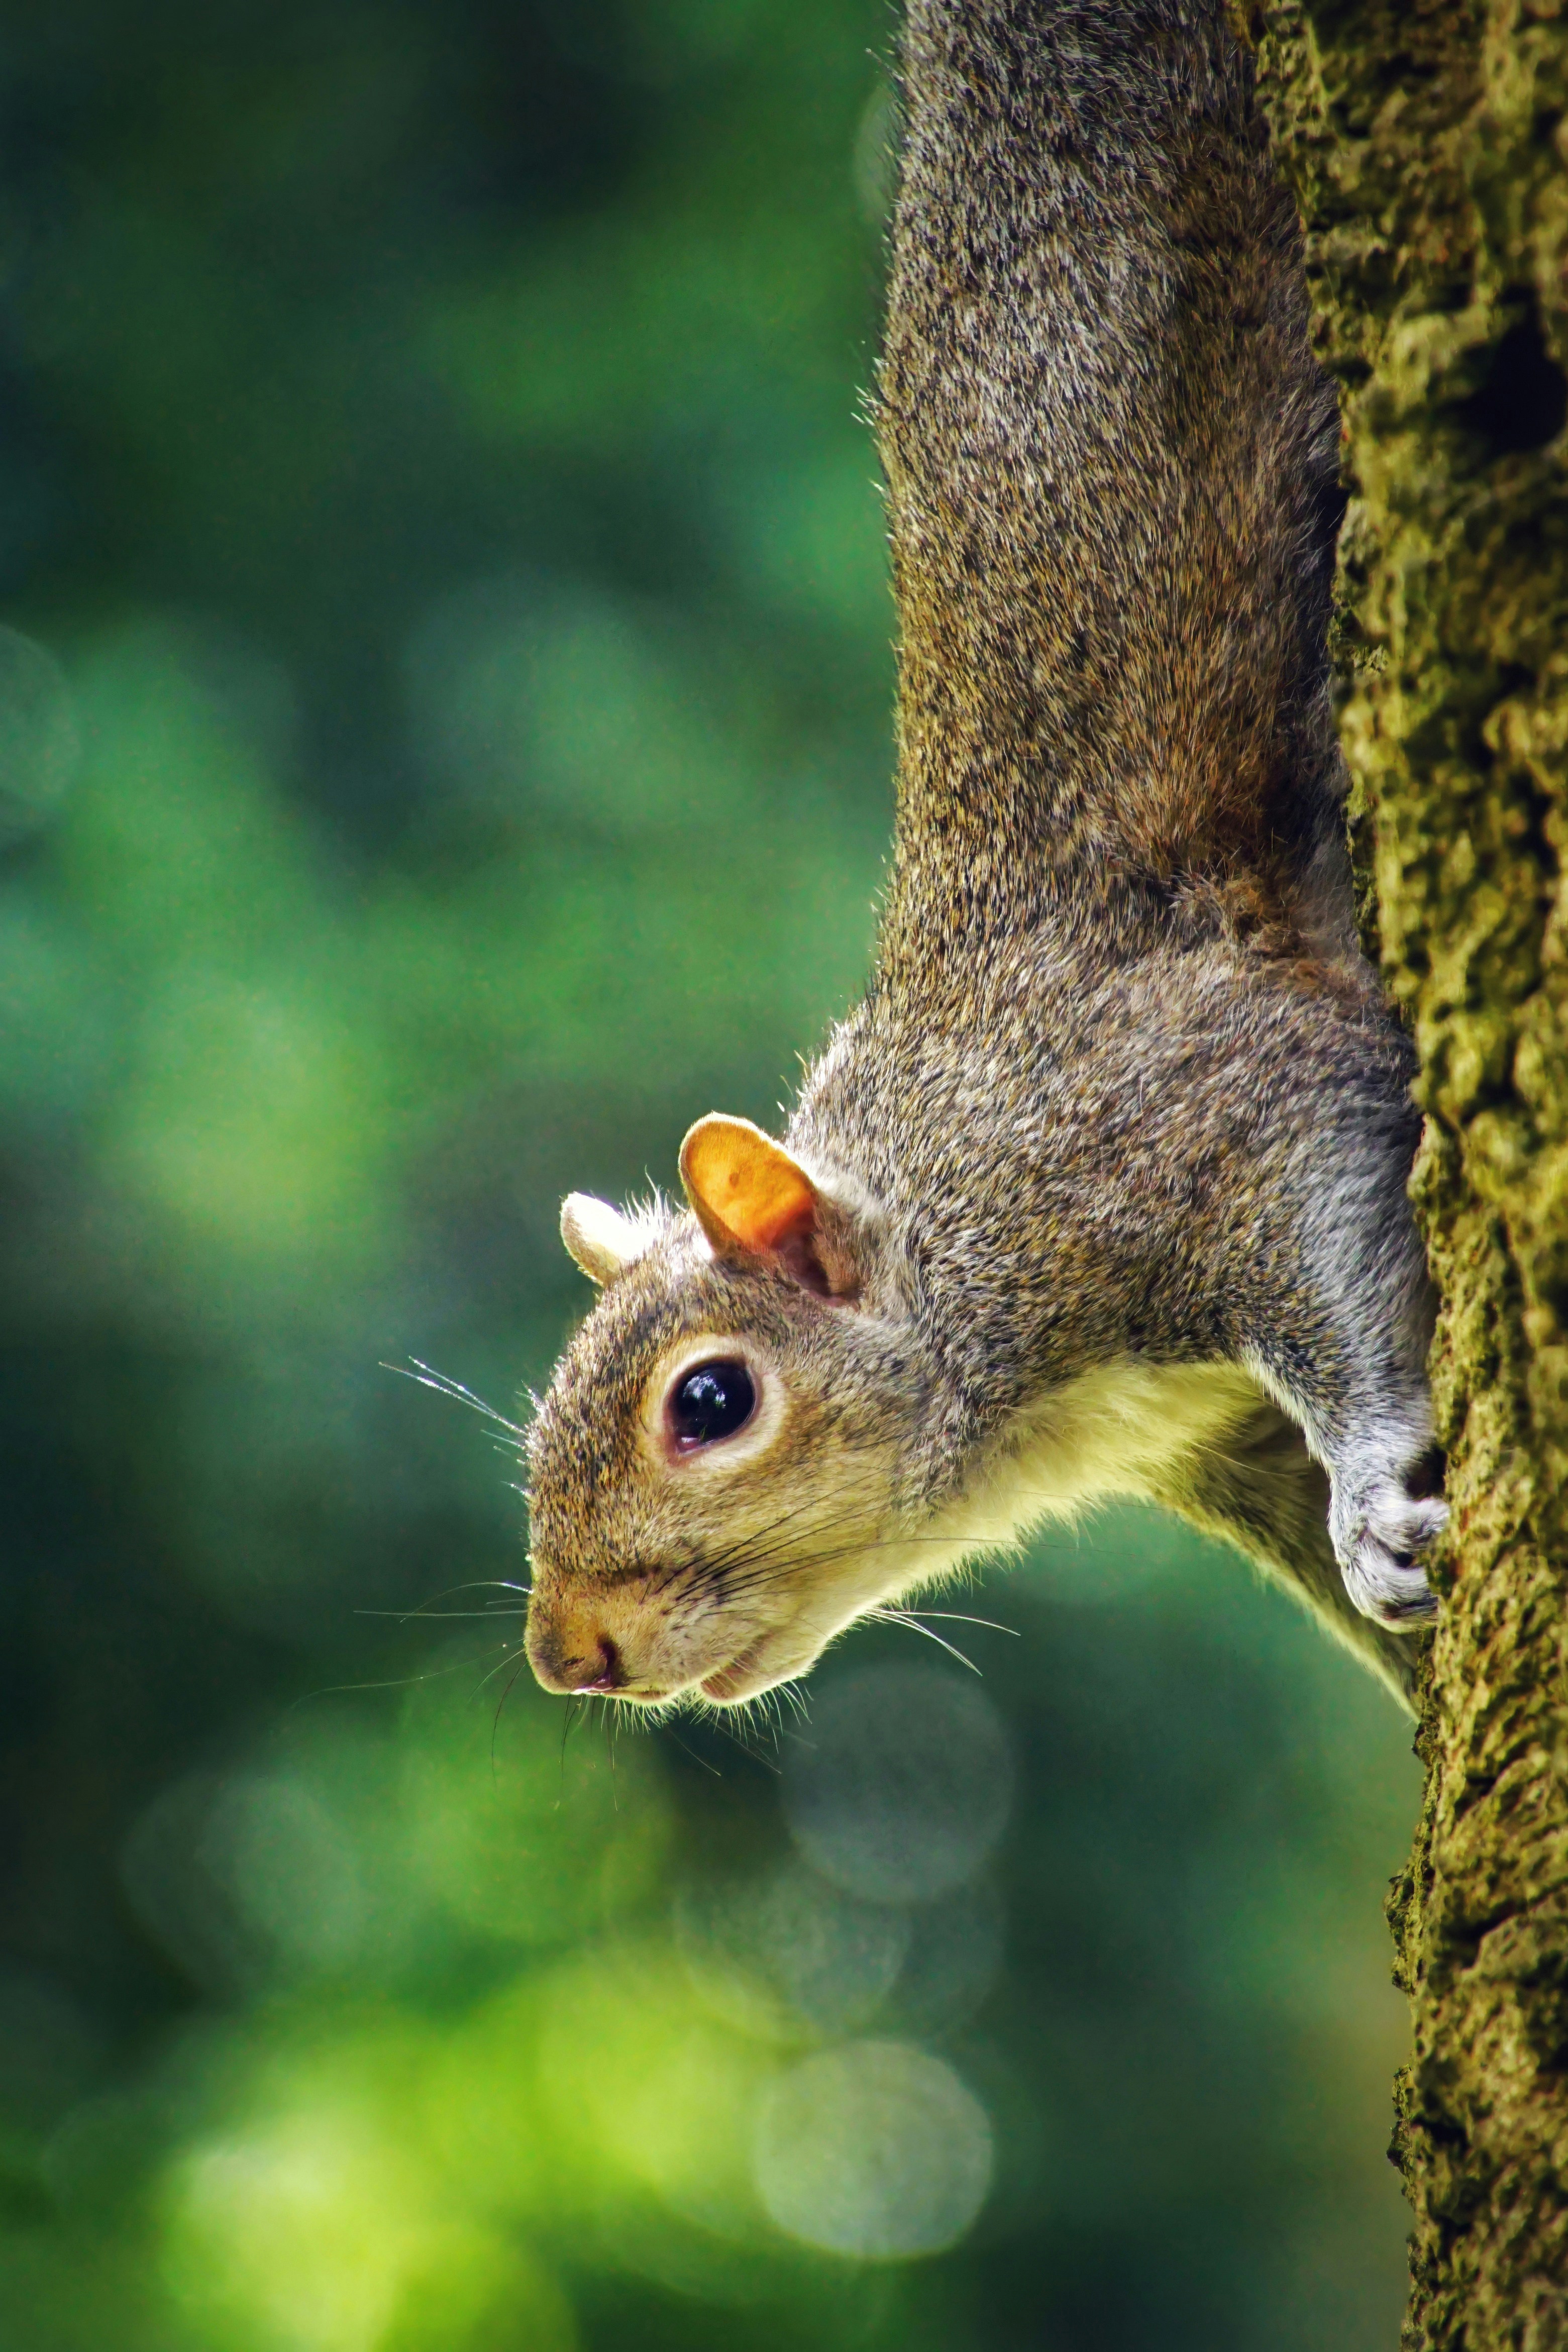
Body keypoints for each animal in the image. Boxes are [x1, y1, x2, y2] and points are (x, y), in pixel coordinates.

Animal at [522, 0, 1445, 1718]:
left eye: (708, 1404)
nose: (568, 1655)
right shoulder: (1220, 1438)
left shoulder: (1207, 1110)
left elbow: (1333, 1248)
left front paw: (1377, 1492)